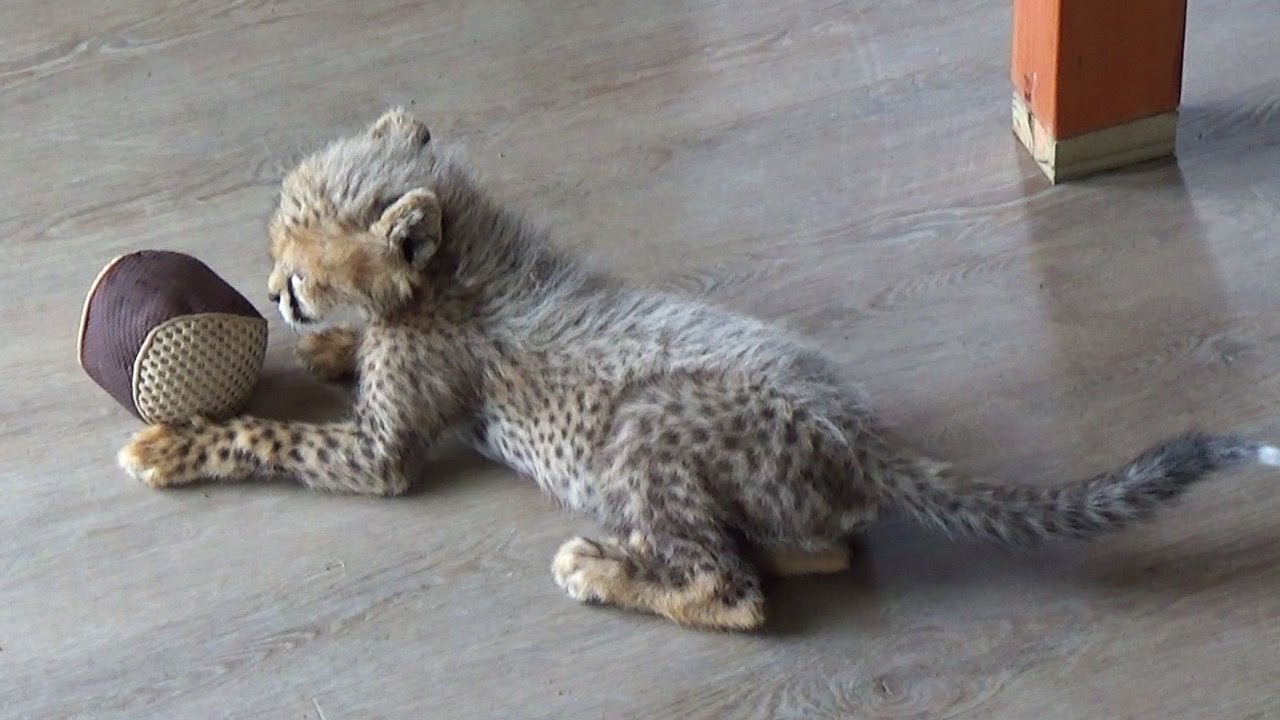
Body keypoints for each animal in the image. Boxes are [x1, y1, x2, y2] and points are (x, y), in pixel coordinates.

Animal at [118, 108, 1280, 631]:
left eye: (304, 257)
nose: (277, 293)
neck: (465, 259)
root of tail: (863, 440)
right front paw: (330, 346)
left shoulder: (379, 455)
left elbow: (268, 433)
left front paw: (170, 442)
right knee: (817, 549)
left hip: (648, 432)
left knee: (736, 591)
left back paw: (605, 566)